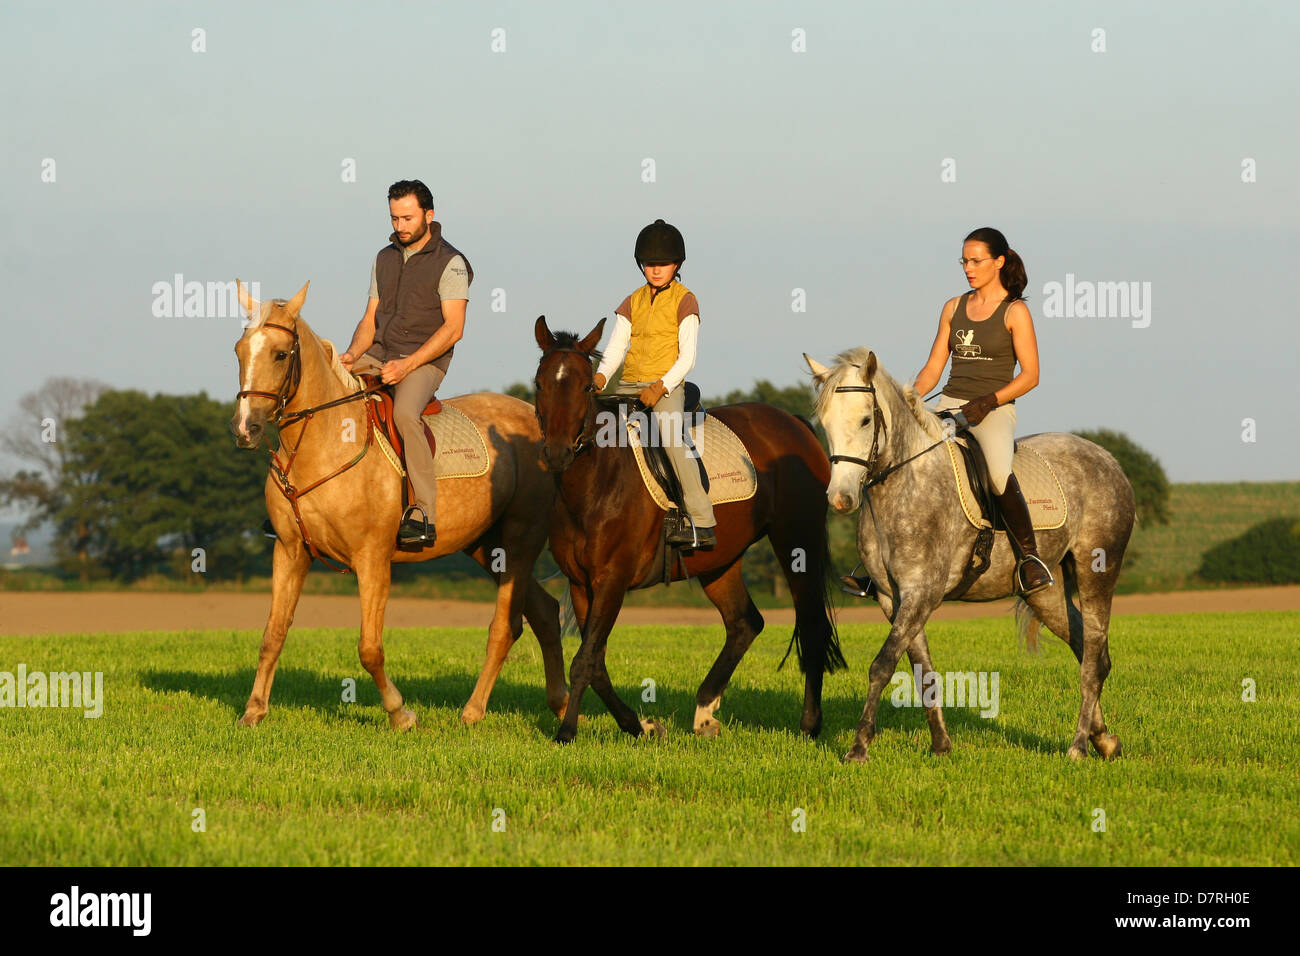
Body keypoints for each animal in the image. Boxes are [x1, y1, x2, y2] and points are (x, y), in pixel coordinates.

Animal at [229, 281, 569, 730]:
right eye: (239, 350)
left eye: (281, 354)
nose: (244, 429)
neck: (325, 445)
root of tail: (537, 421)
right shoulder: (290, 552)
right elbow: (273, 634)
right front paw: (253, 711)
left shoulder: (372, 560)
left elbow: (369, 648)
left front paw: (400, 714)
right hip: (486, 547)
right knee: (545, 612)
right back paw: (562, 704)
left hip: (520, 541)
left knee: (506, 626)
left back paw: (473, 712)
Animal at [533, 316, 845, 744]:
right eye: (539, 384)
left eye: (584, 387)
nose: (557, 453)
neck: (597, 483)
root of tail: (795, 424)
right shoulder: (582, 585)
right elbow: (596, 662)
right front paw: (640, 726)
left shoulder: (611, 580)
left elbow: (585, 660)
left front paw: (566, 733)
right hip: (719, 560)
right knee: (744, 623)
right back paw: (704, 712)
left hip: (798, 542)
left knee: (811, 626)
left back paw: (810, 726)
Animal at [804, 348, 1135, 762]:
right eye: (825, 423)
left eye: (866, 419)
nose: (840, 498)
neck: (904, 485)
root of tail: (1108, 459)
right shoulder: (893, 598)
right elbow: (921, 669)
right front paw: (941, 746)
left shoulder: (922, 592)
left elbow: (883, 665)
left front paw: (859, 747)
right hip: (1046, 593)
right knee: (1087, 648)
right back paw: (1104, 739)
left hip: (1097, 574)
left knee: (1092, 661)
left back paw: (1078, 747)